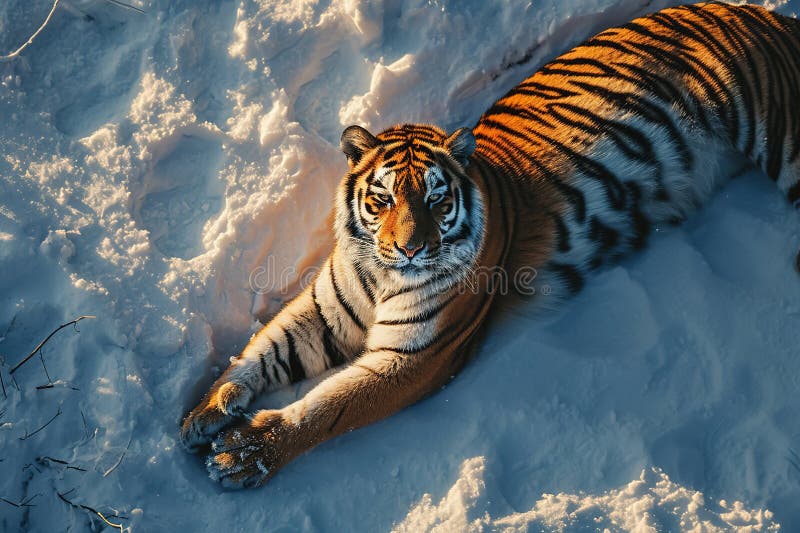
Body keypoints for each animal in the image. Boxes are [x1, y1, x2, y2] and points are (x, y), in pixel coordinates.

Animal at [181, 2, 800, 488]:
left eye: (435, 200)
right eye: (382, 199)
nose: (409, 250)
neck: (380, 274)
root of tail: (761, 13)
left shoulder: (416, 356)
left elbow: (329, 406)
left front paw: (246, 454)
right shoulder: (324, 313)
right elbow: (262, 349)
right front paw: (207, 410)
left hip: (779, 134)